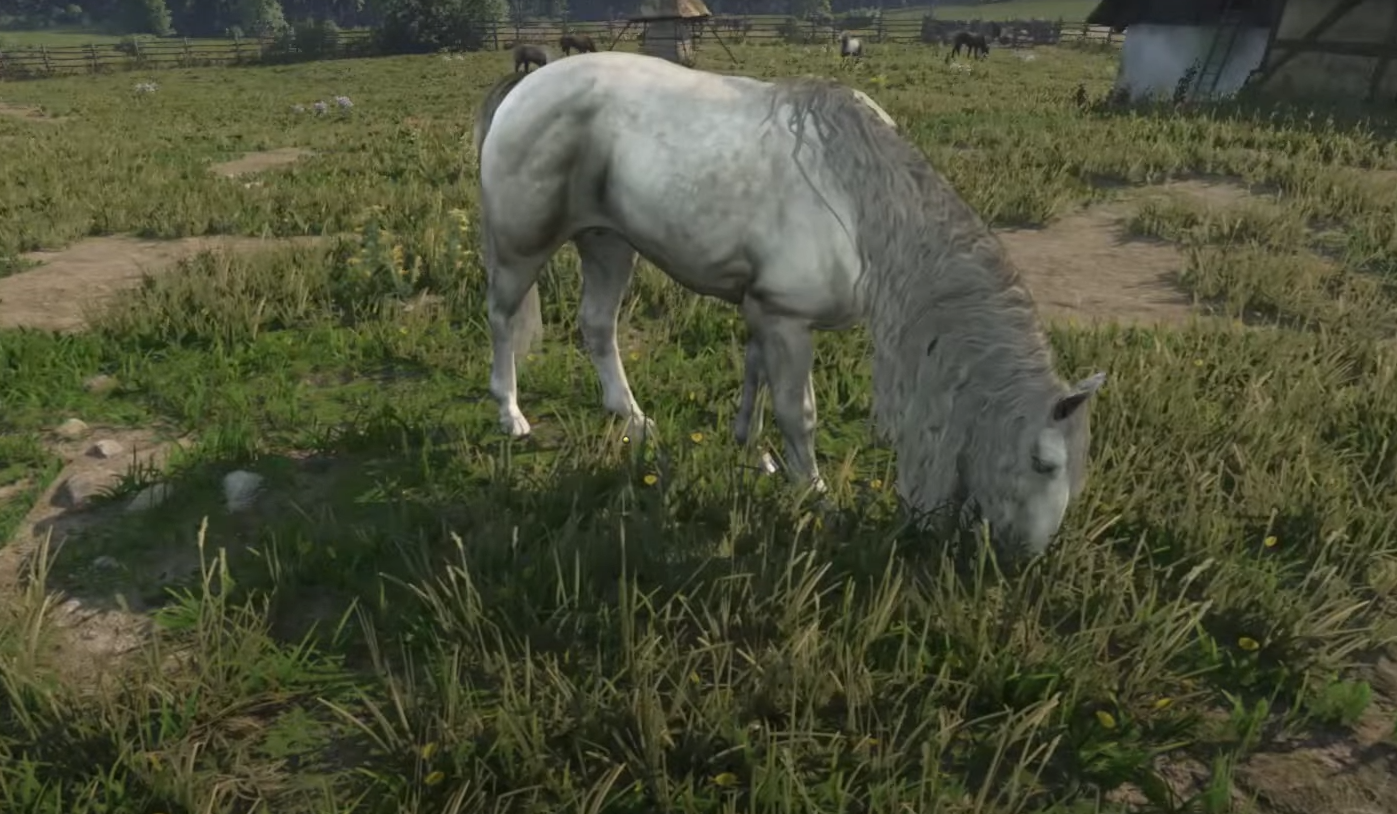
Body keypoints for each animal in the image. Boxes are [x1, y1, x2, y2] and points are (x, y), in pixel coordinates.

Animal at [472, 52, 1106, 556]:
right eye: (1044, 463)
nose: (1026, 557)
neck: (860, 211)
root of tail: (529, 84)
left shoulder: (761, 311)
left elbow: (755, 381)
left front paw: (755, 454)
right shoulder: (787, 320)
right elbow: (798, 413)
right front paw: (817, 496)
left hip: (608, 243)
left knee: (598, 327)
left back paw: (632, 418)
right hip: (521, 250)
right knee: (501, 320)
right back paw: (512, 416)